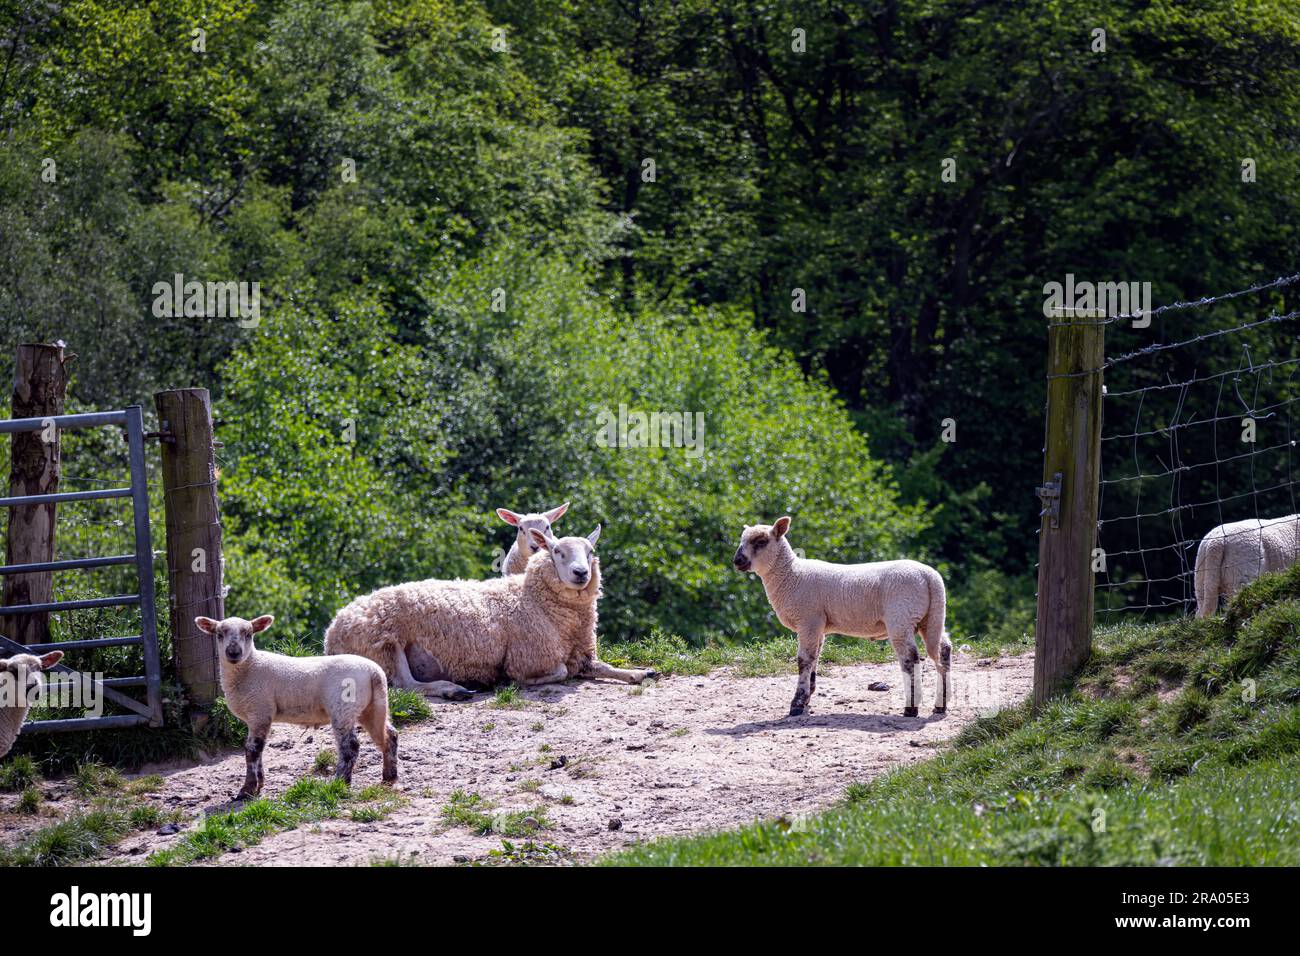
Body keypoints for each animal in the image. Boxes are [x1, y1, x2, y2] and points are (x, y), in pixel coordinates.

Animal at [195, 614, 397, 798]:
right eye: (219, 634)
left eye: (249, 634)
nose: (233, 652)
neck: (250, 668)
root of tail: (373, 672)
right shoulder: (256, 715)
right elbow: (258, 751)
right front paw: (259, 783)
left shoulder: (260, 711)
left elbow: (252, 750)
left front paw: (247, 790)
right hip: (374, 706)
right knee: (389, 735)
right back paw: (389, 776)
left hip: (343, 707)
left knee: (350, 746)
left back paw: (340, 782)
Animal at [324, 525, 655, 699]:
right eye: (557, 551)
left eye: (590, 552)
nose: (581, 573)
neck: (532, 599)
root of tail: (332, 631)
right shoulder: (528, 658)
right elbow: (558, 672)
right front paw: (511, 681)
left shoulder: (583, 653)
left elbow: (604, 667)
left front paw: (640, 672)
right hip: (385, 646)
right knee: (406, 686)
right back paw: (452, 689)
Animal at [732, 516, 951, 718]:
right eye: (742, 540)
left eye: (761, 541)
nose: (737, 561)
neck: (791, 575)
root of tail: (930, 577)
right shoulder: (818, 624)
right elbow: (814, 658)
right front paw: (807, 698)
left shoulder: (808, 619)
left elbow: (804, 660)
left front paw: (797, 704)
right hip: (933, 617)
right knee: (943, 650)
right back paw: (940, 705)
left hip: (901, 617)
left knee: (910, 659)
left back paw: (911, 708)